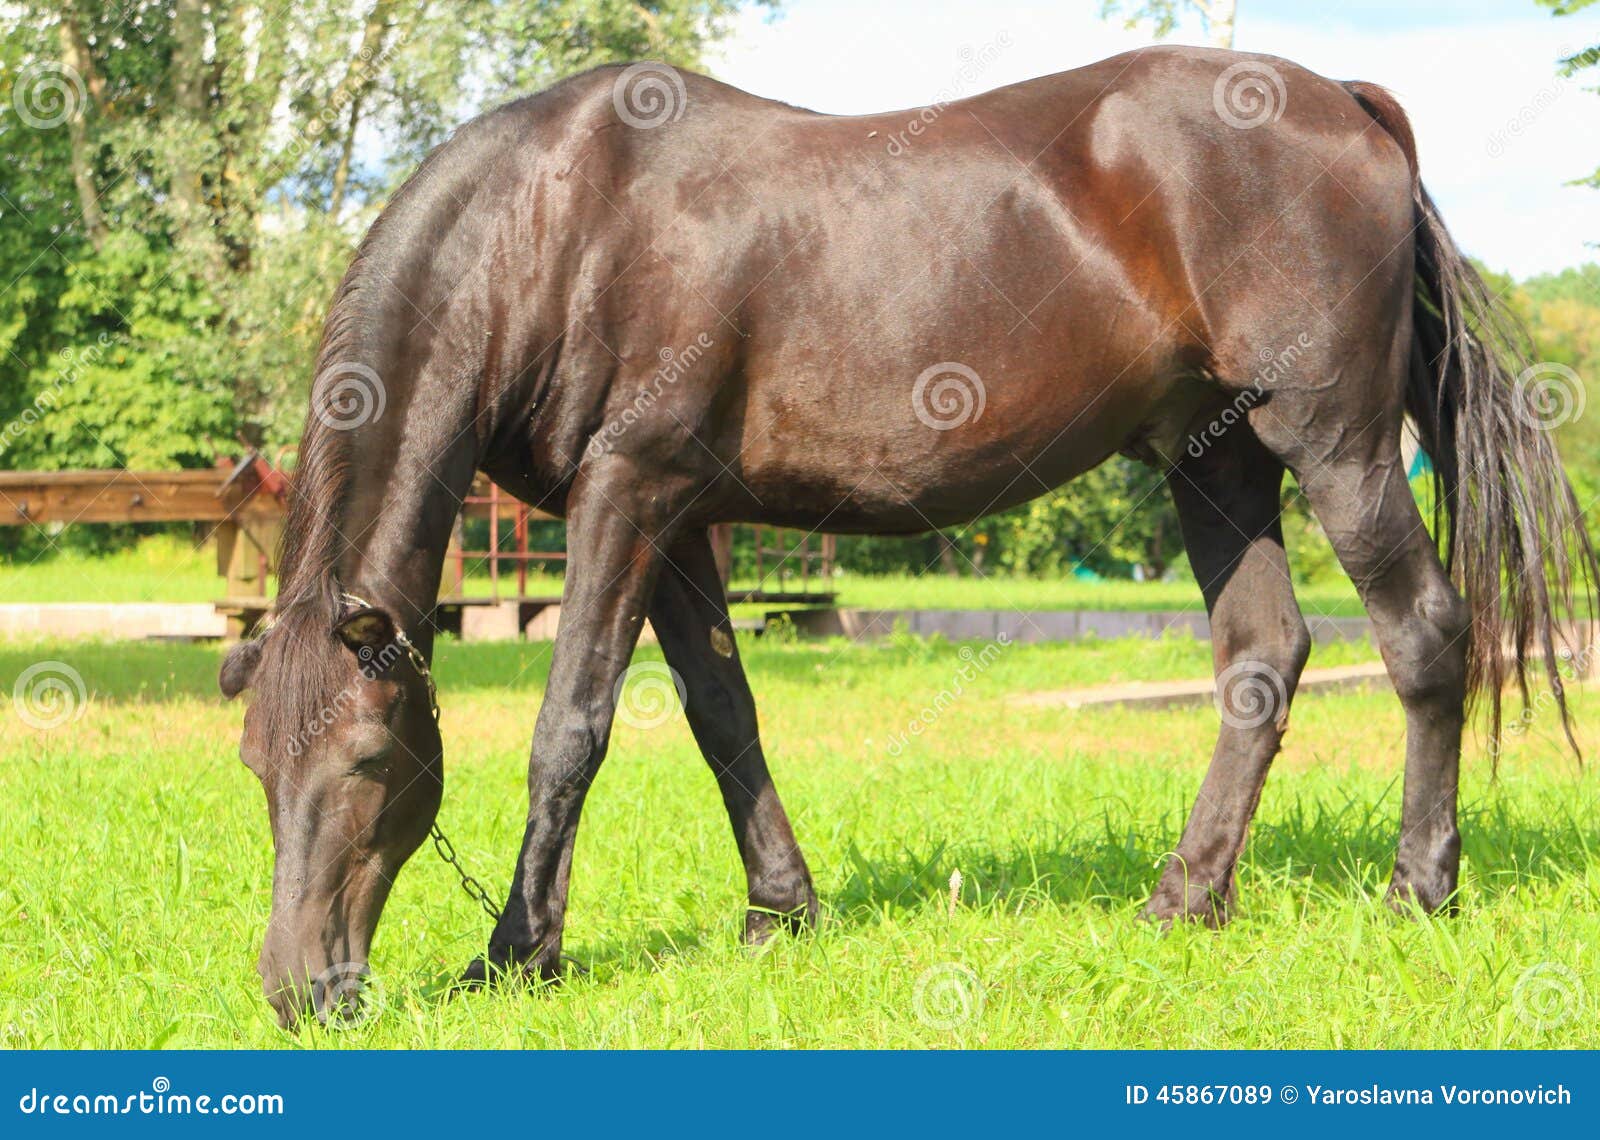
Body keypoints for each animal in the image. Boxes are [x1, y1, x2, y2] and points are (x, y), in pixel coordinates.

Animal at [219, 46, 1595, 1027]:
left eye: (368, 762)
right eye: (256, 772)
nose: (300, 994)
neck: (558, 223)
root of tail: (1347, 103)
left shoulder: (631, 496)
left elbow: (572, 729)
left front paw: (516, 954)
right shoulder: (679, 522)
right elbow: (723, 720)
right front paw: (780, 909)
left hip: (1336, 443)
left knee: (1424, 635)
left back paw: (1420, 888)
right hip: (1216, 461)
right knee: (1261, 661)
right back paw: (1185, 898)